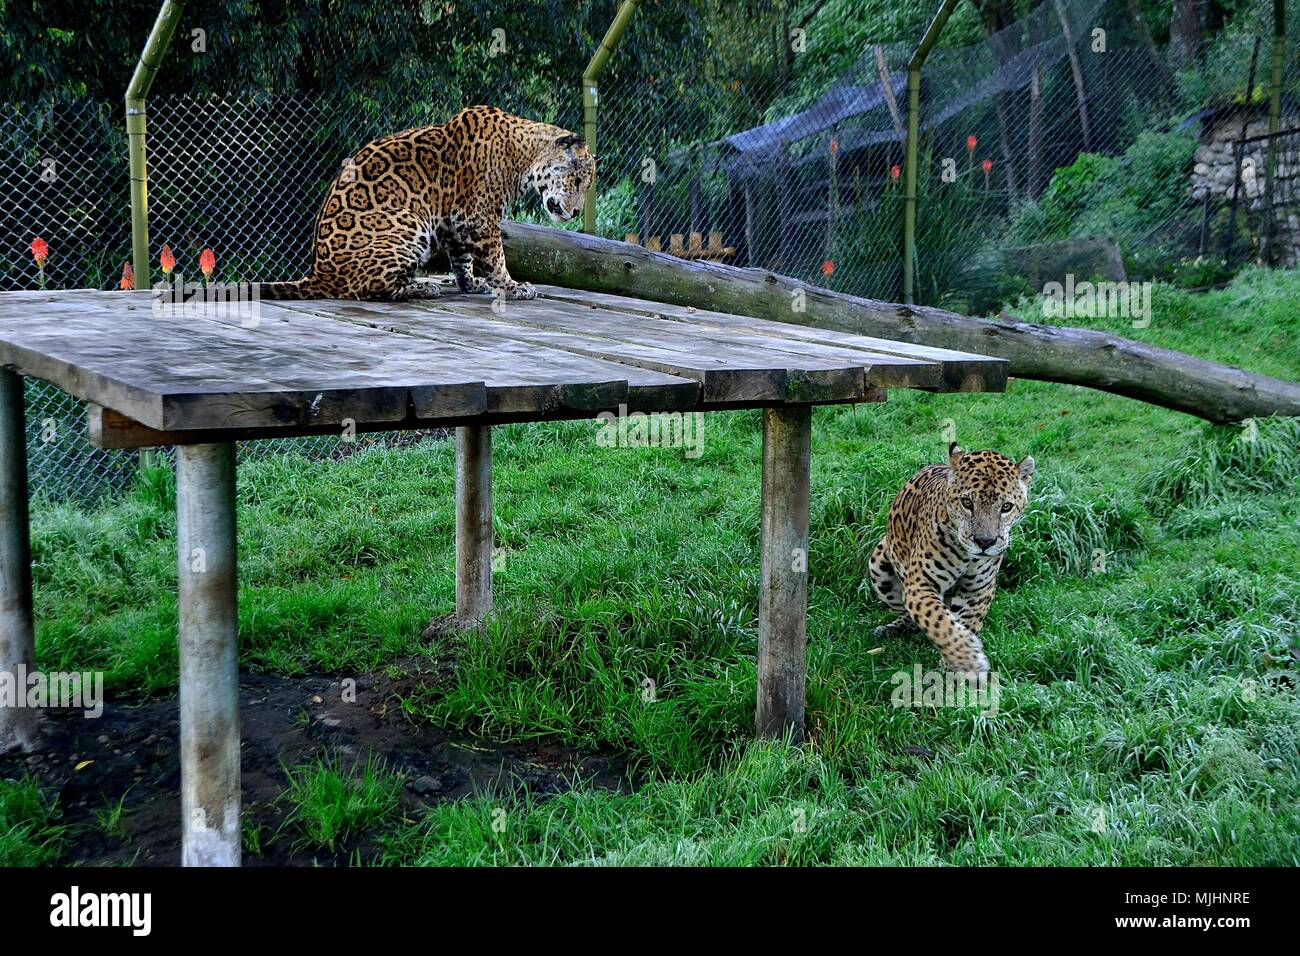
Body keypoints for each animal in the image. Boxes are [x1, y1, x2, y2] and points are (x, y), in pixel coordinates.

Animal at [258, 105, 596, 302]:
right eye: (578, 181)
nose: (577, 211)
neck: (523, 156)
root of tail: (318, 274)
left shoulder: (455, 220)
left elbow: (462, 258)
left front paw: (471, 284)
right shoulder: (480, 216)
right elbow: (496, 258)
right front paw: (513, 288)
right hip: (408, 224)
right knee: (364, 289)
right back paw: (421, 287)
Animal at [867, 443, 1035, 680]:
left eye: (1006, 507)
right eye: (967, 502)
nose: (985, 542)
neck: (969, 557)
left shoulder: (978, 592)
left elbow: (965, 624)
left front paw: (954, 668)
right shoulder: (920, 584)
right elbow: (939, 620)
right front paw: (968, 659)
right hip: (879, 564)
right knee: (909, 614)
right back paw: (890, 629)